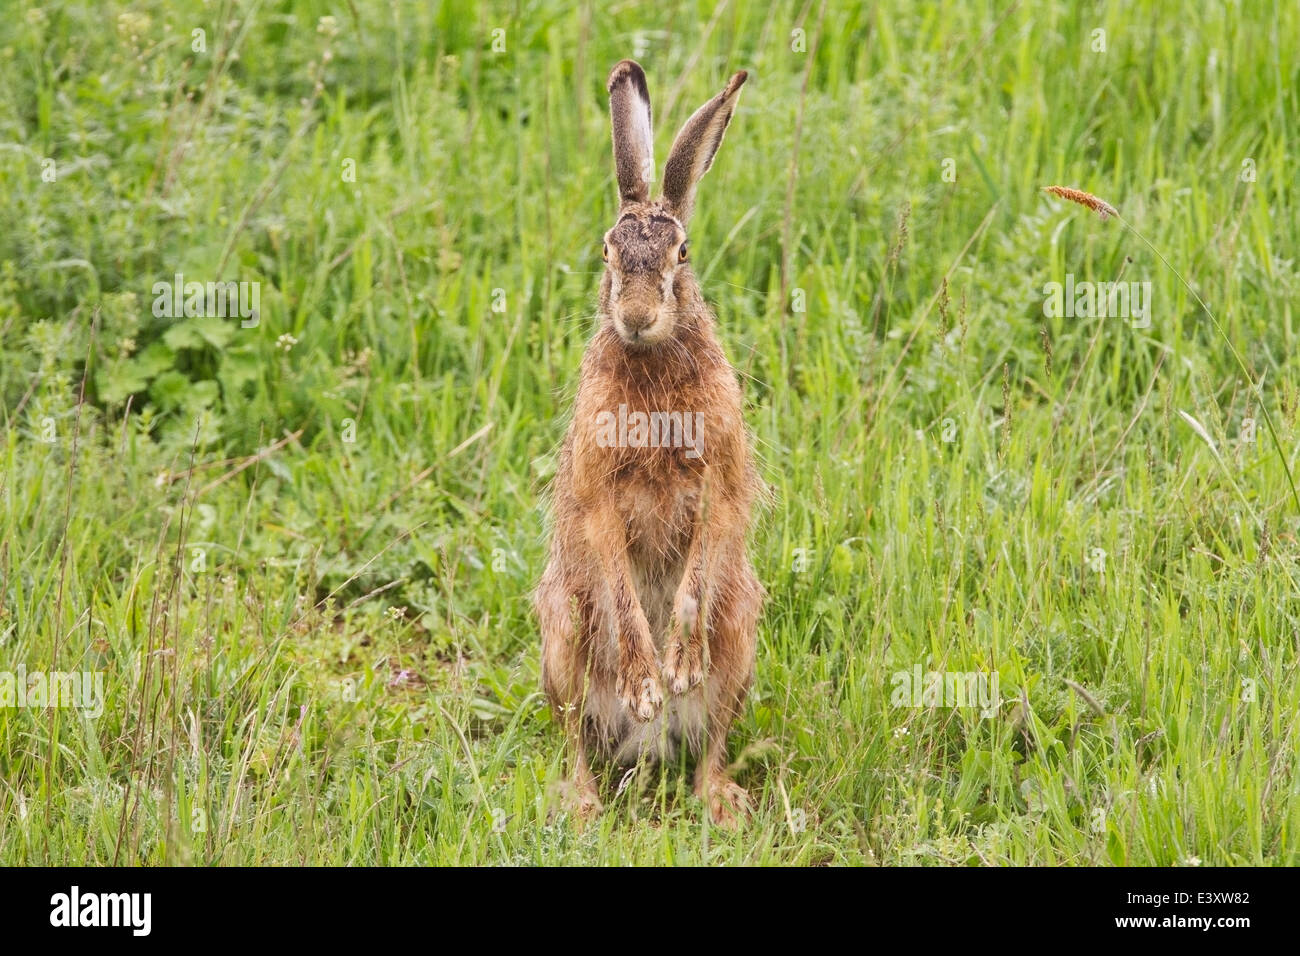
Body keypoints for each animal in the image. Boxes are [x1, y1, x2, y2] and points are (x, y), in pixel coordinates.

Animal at [535, 59, 764, 828]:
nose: (636, 316)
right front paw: (646, 683)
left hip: (741, 633)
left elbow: (696, 574)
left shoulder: (722, 481)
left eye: (682, 253)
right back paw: (584, 802)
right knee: (575, 733)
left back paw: (718, 798)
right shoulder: (598, 498)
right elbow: (622, 588)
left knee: (713, 735)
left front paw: (678, 666)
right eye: (608, 251)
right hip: (563, 634)